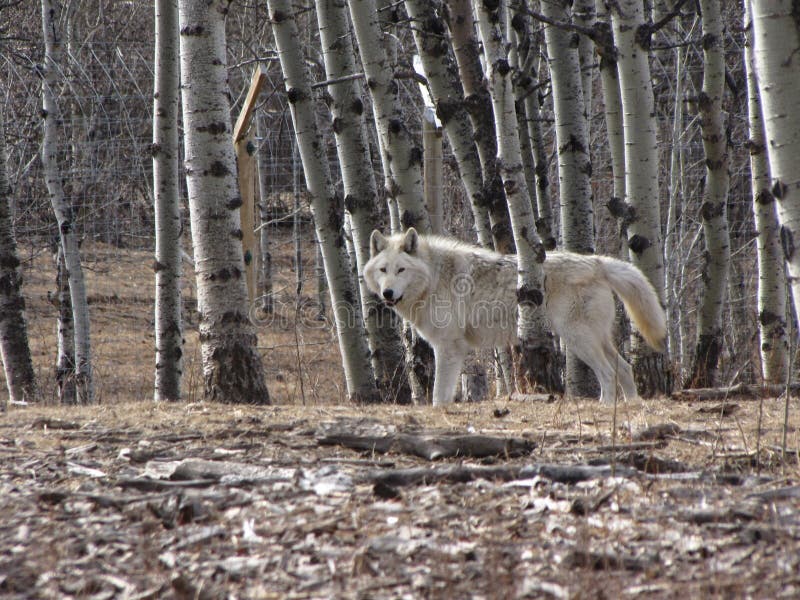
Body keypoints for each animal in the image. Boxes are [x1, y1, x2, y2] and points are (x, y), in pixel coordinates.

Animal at [363, 227, 667, 406]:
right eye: (383, 270)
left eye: (401, 270)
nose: (388, 293)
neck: (433, 277)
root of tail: (597, 262)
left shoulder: (448, 346)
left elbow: (439, 393)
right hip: (594, 340)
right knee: (624, 368)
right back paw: (632, 406)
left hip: (579, 340)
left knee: (608, 373)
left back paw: (606, 407)